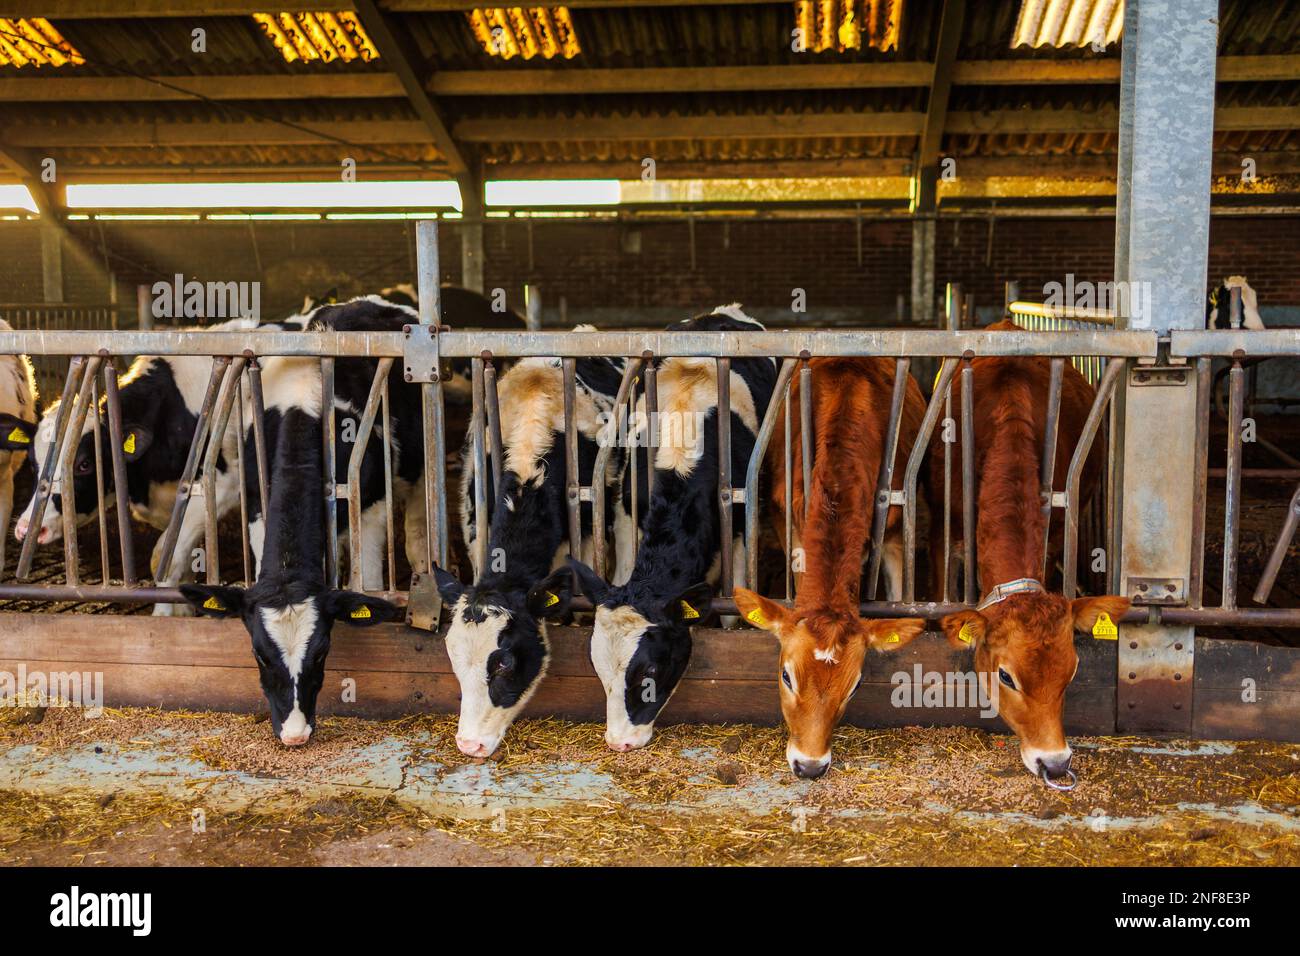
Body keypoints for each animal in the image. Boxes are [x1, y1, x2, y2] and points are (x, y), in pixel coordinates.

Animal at [10, 316, 262, 612]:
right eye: (32, 463)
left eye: (84, 464)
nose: (26, 528)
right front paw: (185, 610)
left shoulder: (221, 486)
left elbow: (165, 560)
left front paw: (165, 614)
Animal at [178, 296, 419, 745]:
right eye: (258, 653)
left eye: (322, 651)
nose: (294, 734)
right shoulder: (257, 508)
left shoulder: (371, 508)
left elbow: (368, 579)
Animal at [568, 306, 778, 751]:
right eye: (599, 670)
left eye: (648, 673)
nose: (618, 742)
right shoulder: (627, 512)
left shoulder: (737, 524)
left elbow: (733, 616)